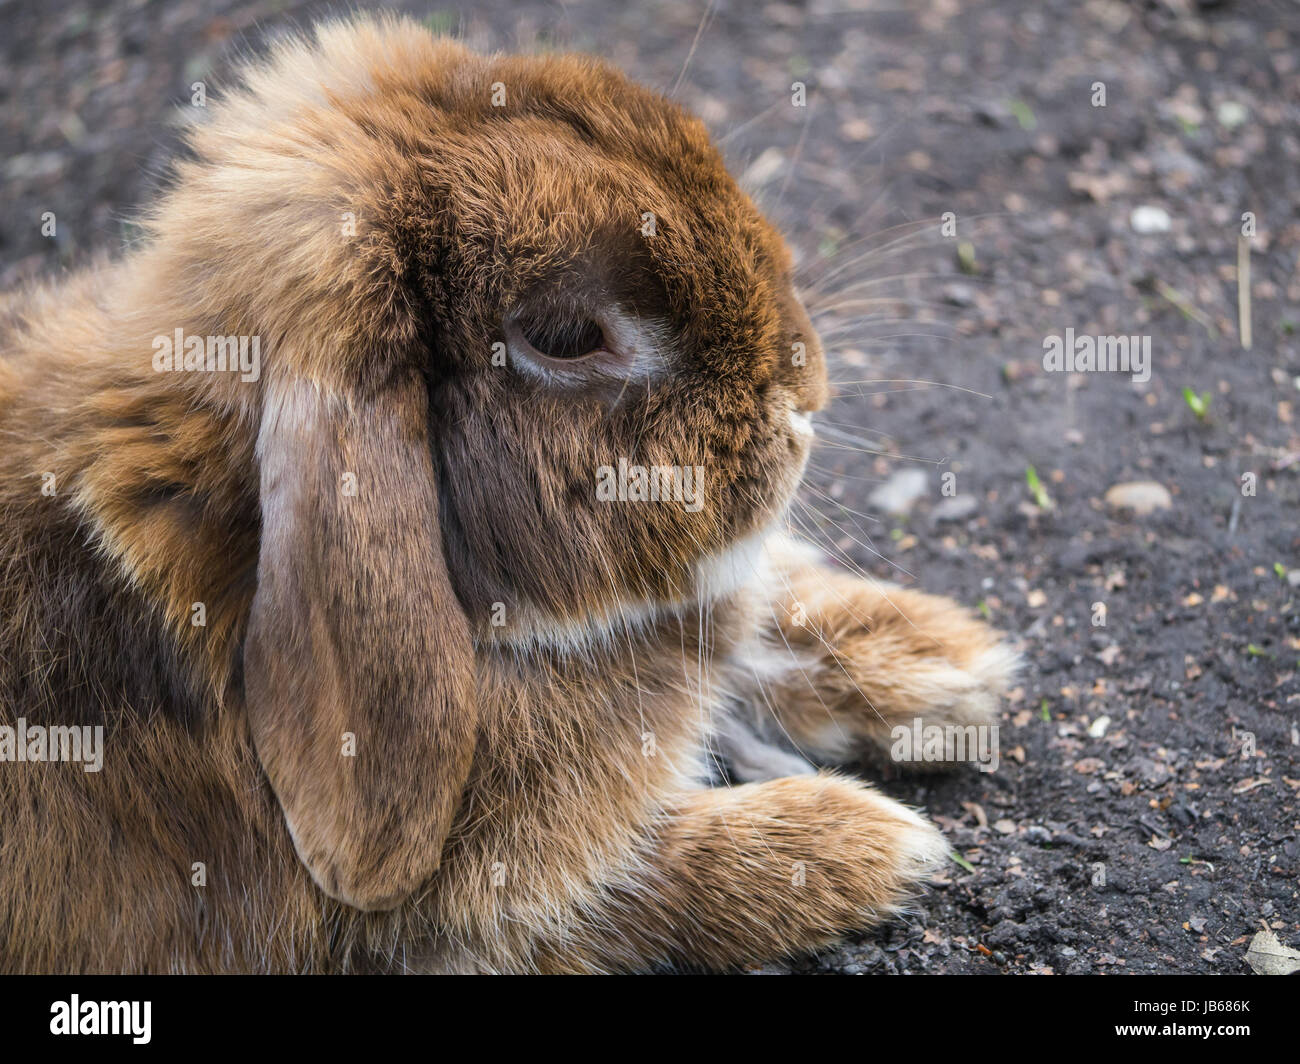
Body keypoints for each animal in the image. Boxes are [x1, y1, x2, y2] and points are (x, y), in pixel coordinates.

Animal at [0, 14, 1015, 973]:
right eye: (563, 338)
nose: (805, 393)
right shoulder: (466, 919)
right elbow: (655, 879)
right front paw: (877, 846)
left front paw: (942, 664)